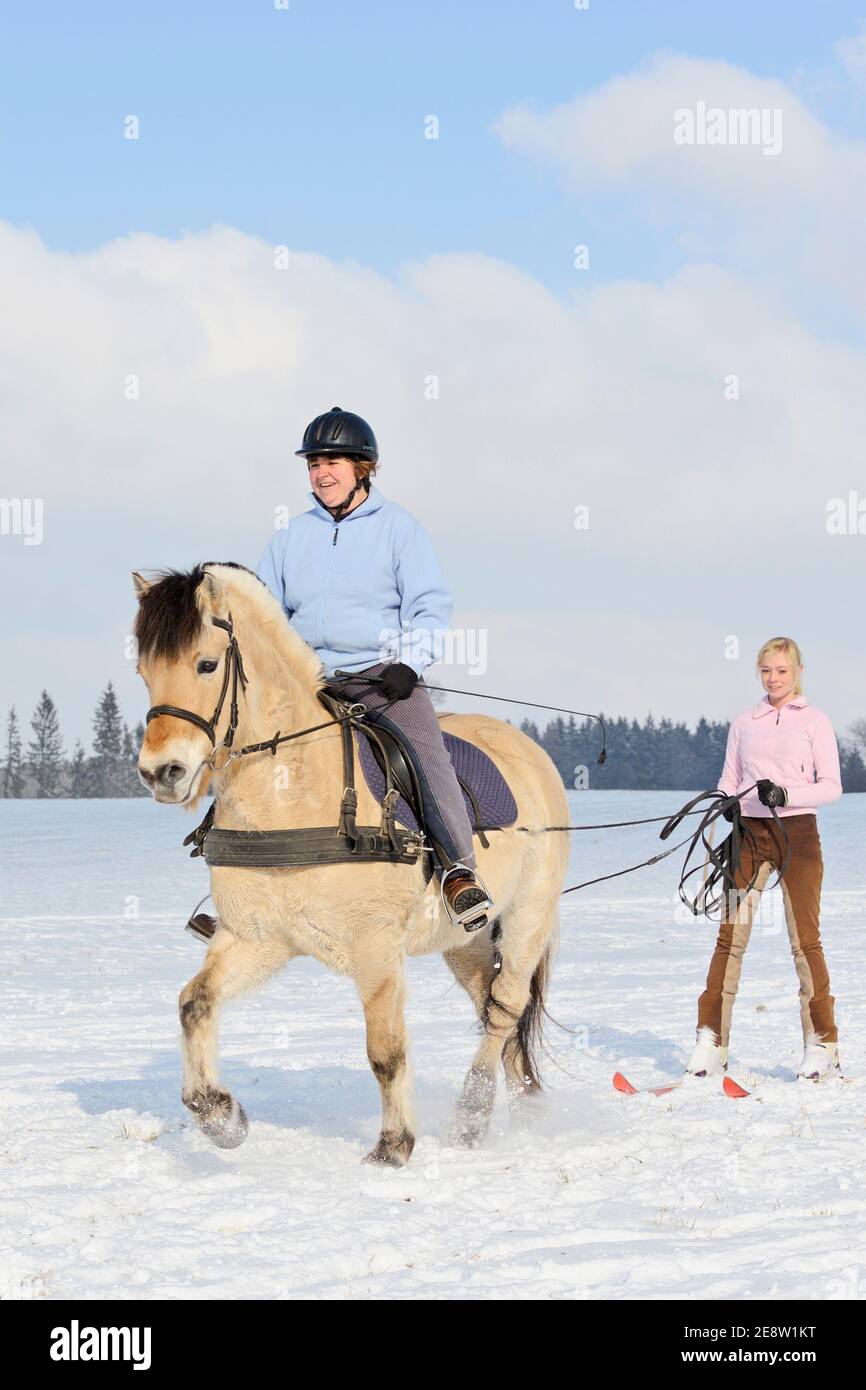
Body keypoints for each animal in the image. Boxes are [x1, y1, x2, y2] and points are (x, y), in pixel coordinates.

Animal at [133, 561, 569, 1165]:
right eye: (144, 672)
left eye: (206, 662)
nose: (161, 772)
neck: (292, 795)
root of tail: (529, 751)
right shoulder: (256, 939)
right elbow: (193, 1003)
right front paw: (220, 1116)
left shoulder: (376, 949)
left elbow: (386, 1052)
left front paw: (392, 1147)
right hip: (466, 940)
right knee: (492, 1010)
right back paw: (516, 1109)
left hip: (528, 916)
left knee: (505, 1006)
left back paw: (471, 1115)